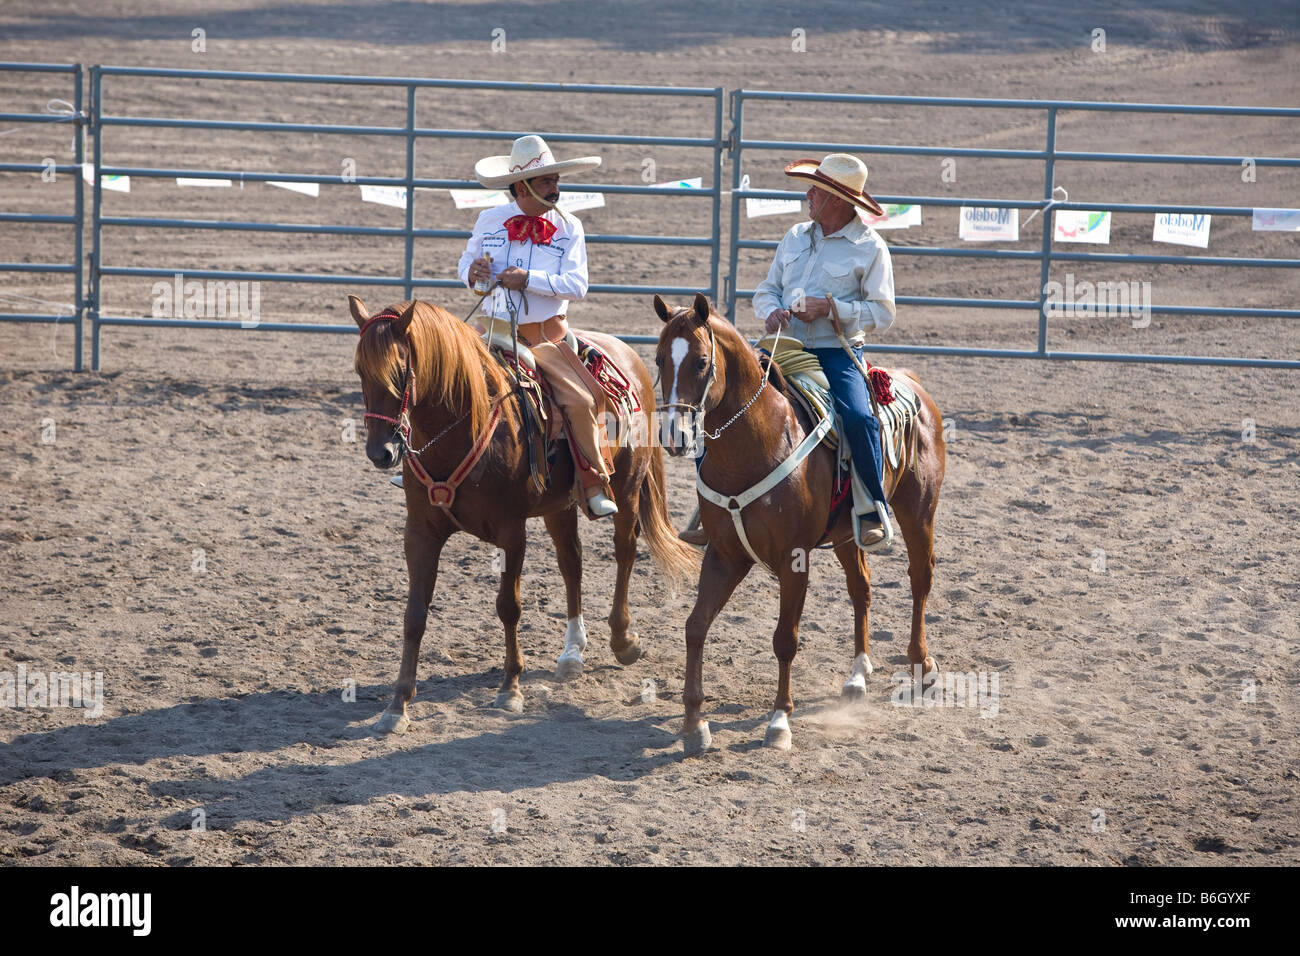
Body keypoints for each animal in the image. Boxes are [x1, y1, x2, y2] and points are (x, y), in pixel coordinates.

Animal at [350, 296, 699, 733]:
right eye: (360, 370)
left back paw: (623, 640)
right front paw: (397, 706)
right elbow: (414, 616)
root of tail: (630, 356)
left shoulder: (511, 532)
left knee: (625, 551)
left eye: (399, 372)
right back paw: (572, 652)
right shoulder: (420, 533)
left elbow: (509, 607)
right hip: (560, 506)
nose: (381, 452)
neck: (465, 424)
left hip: (628, 488)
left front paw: (510, 688)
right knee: (572, 563)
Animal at [653, 293, 946, 755]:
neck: (758, 443)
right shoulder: (724, 556)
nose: (673, 435)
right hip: (848, 534)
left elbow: (785, 639)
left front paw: (779, 722)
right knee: (861, 589)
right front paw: (695, 724)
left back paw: (922, 662)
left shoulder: (794, 561)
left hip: (919, 512)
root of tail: (912, 383)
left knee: (920, 578)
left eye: (701, 361)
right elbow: (695, 627)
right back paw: (857, 675)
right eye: (660, 359)